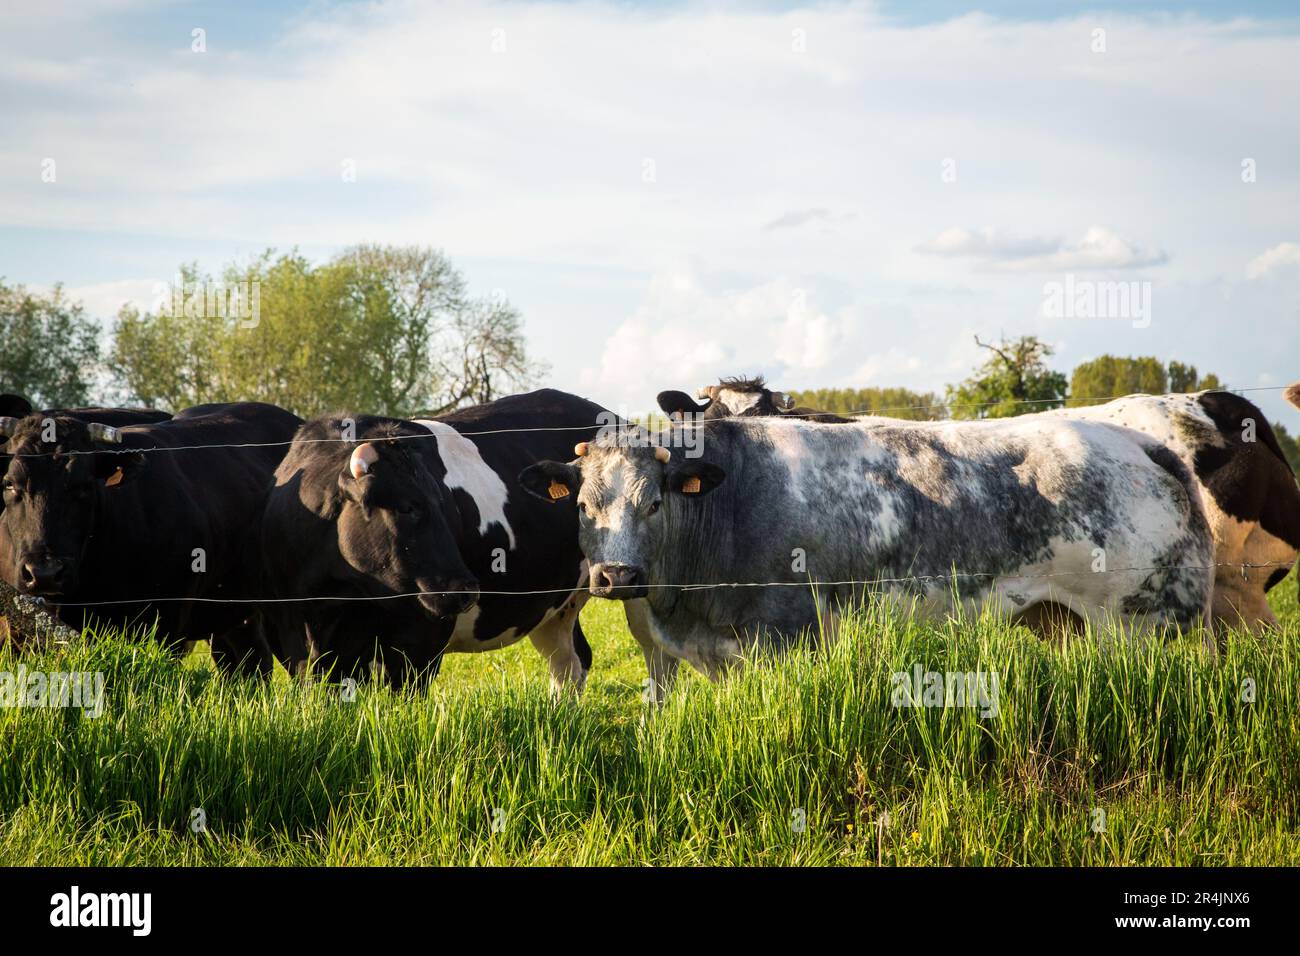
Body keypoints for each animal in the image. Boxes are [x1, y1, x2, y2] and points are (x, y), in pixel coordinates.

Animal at [257, 389, 613, 689]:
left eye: (444, 505)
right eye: (407, 507)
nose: (464, 590)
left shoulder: (421, 643)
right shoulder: (298, 644)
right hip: (556, 607)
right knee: (569, 661)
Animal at [520, 415, 1216, 699]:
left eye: (655, 503)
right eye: (582, 504)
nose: (617, 575)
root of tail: (1145, 446)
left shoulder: (784, 638)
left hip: (1147, 628)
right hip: (1069, 625)